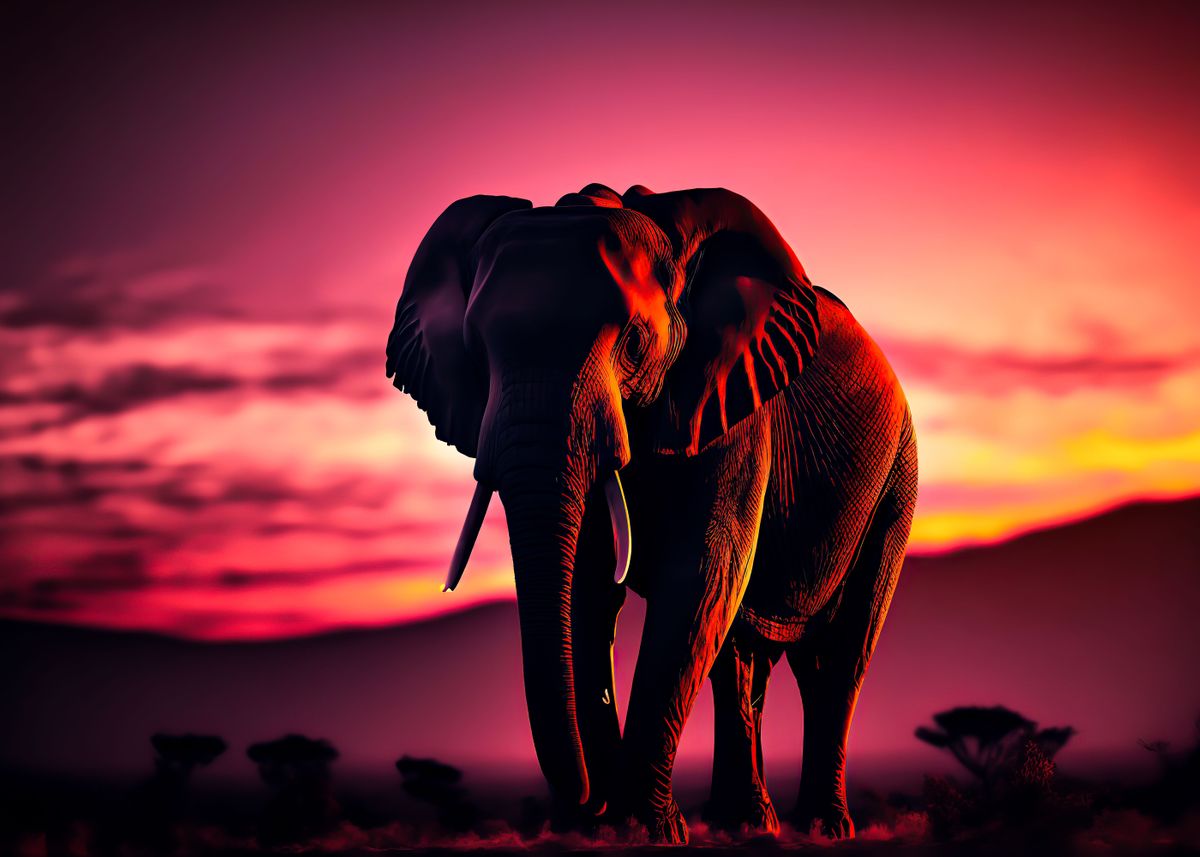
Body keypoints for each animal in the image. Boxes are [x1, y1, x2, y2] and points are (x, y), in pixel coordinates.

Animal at [385, 183, 917, 843]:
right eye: (477, 352)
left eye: (635, 342)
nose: (589, 800)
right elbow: (589, 584)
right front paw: (604, 829)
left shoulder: (732, 400)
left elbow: (700, 571)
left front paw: (645, 832)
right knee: (740, 658)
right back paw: (747, 825)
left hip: (897, 477)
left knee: (838, 656)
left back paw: (823, 828)